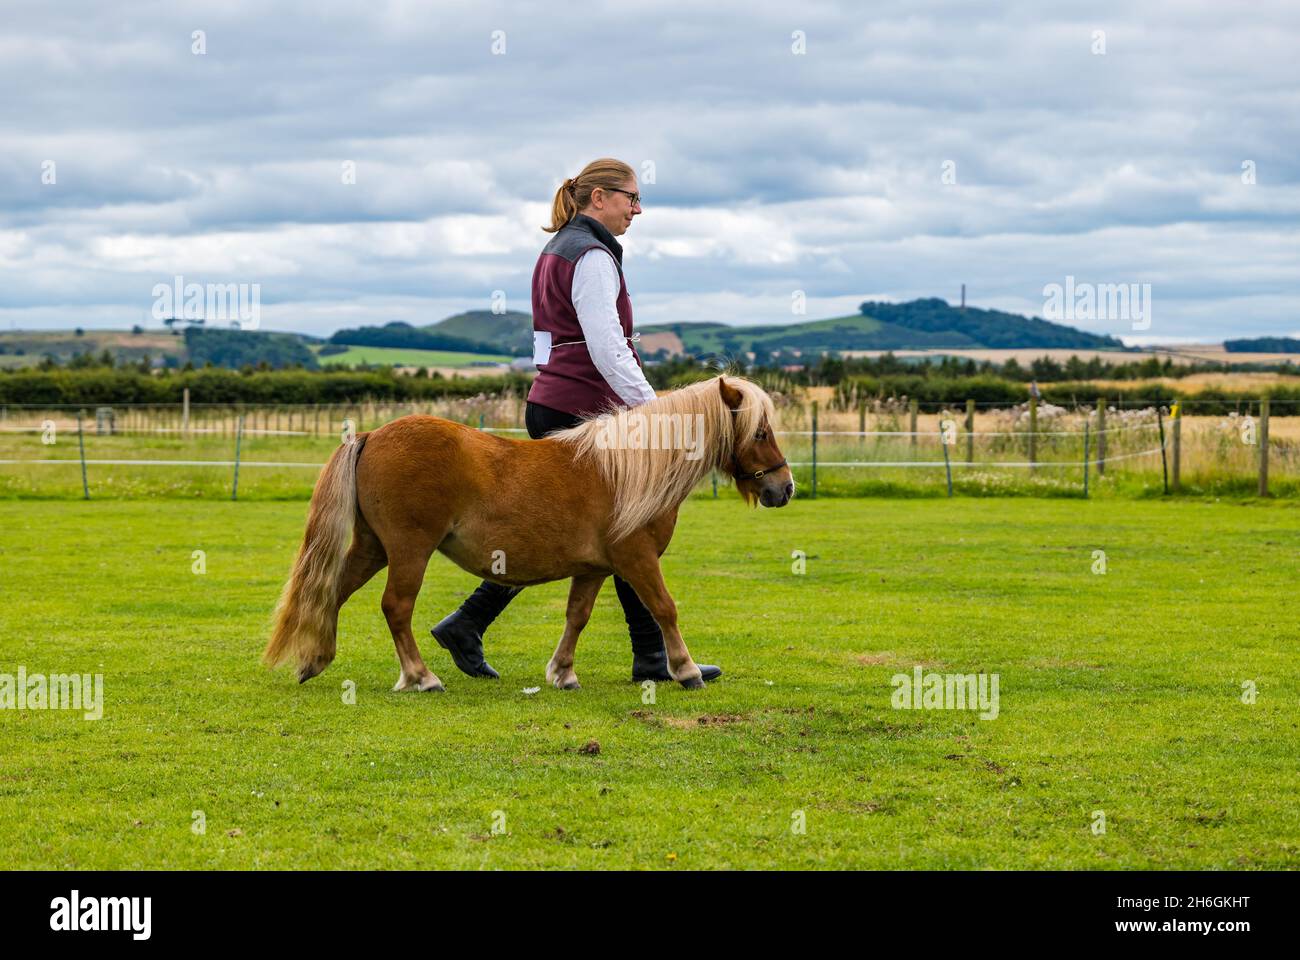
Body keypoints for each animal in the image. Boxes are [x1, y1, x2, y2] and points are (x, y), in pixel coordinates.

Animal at [262, 375, 794, 692]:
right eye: (760, 432)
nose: (784, 487)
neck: (629, 469)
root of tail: (372, 435)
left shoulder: (595, 569)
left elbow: (577, 617)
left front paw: (562, 672)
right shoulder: (637, 559)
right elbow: (663, 608)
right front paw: (685, 670)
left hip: (373, 547)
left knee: (332, 593)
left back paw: (315, 660)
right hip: (408, 550)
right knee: (395, 608)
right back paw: (420, 676)